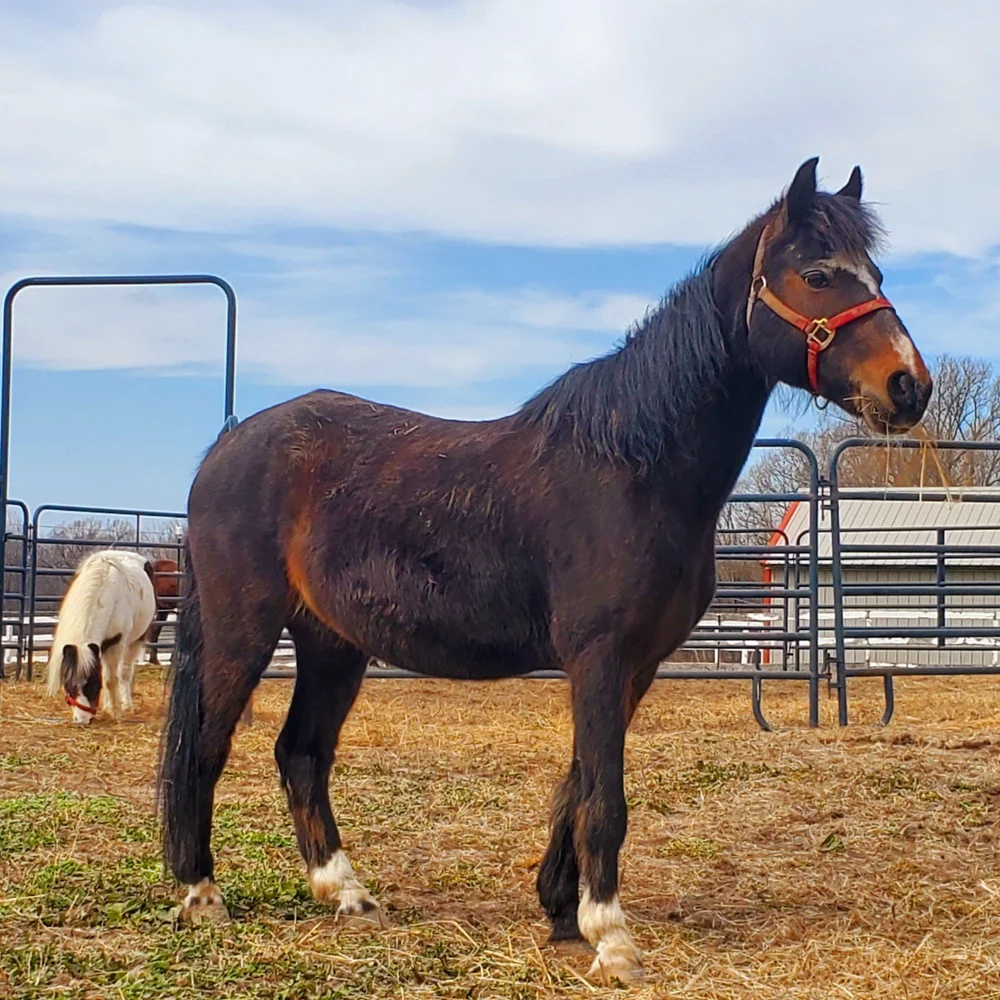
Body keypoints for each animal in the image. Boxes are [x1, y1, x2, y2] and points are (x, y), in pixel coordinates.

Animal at [46, 549, 157, 724]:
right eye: (69, 685)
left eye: (92, 683)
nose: (82, 720)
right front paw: (110, 707)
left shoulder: (115, 642)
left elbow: (111, 680)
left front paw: (117, 713)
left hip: (135, 640)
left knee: (125, 673)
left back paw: (127, 706)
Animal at [158, 159, 932, 983]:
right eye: (818, 275)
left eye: (876, 274)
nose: (909, 386)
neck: (636, 468)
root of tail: (230, 442)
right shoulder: (598, 656)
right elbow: (606, 797)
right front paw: (611, 935)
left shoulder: (635, 665)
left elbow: (579, 783)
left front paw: (563, 910)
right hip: (243, 633)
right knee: (207, 747)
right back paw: (202, 894)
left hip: (332, 644)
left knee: (301, 752)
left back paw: (348, 893)